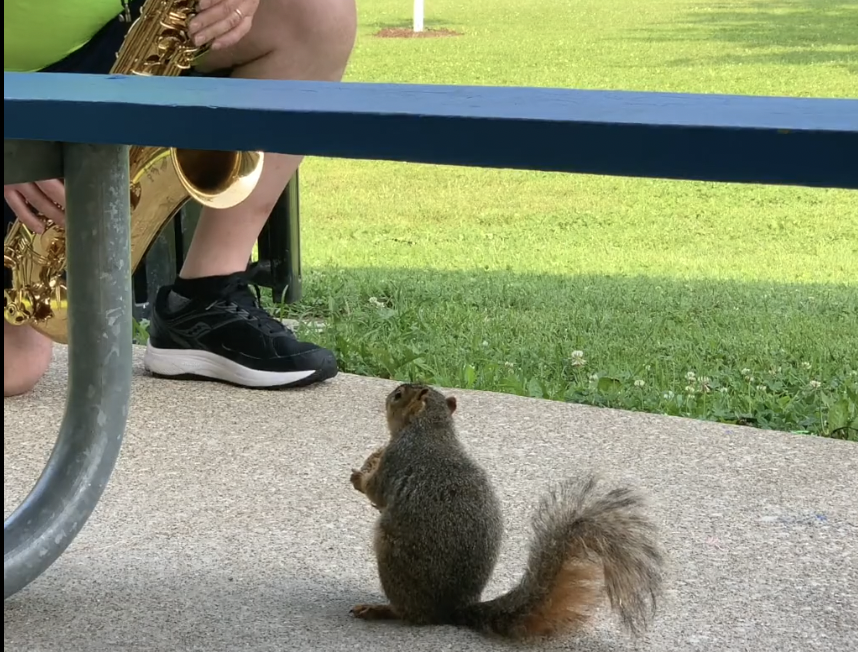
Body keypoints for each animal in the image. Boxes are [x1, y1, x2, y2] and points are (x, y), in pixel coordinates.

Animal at [349, 382, 665, 641]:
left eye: (398, 396)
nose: (388, 396)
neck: (432, 427)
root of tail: (453, 609)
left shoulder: (398, 458)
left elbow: (377, 490)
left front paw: (361, 475)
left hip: (392, 557)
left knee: (412, 615)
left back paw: (380, 609)